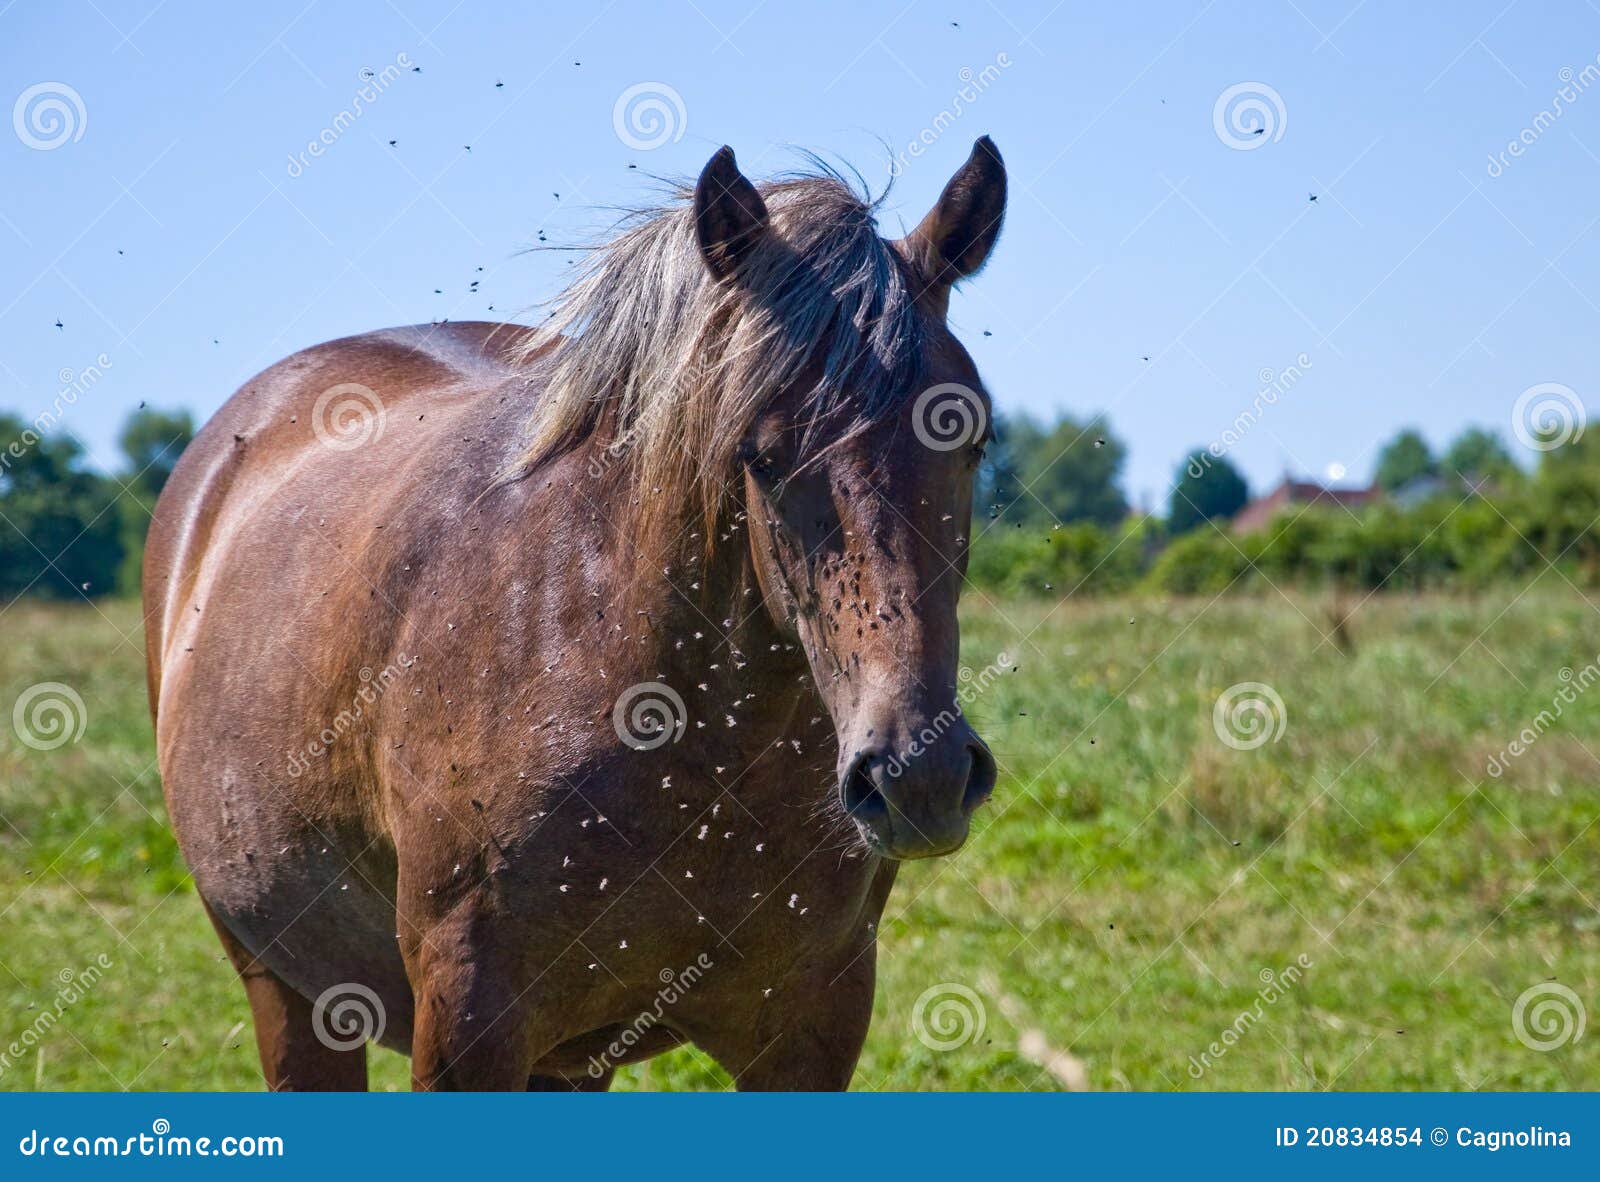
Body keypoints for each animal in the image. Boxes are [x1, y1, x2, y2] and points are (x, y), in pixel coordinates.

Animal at [143, 138, 1007, 1090]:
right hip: (288, 990)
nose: (917, 776)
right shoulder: (466, 1029)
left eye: (972, 438)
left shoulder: (810, 1033)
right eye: (761, 456)